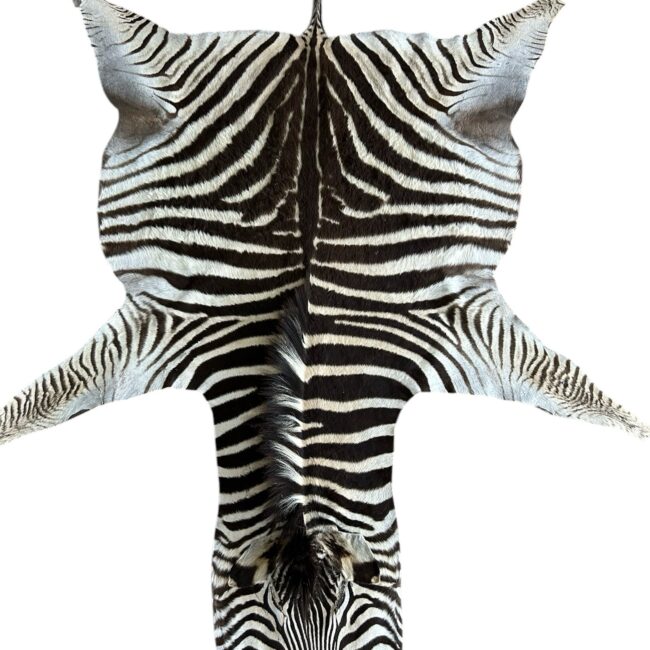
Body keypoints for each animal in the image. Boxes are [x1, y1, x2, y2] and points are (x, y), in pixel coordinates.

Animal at [0, 0, 646, 648]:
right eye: (260, 648)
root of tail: (314, 41)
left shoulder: (454, 325)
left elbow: (570, 390)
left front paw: (632, 426)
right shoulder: (166, 325)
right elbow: (50, 400)